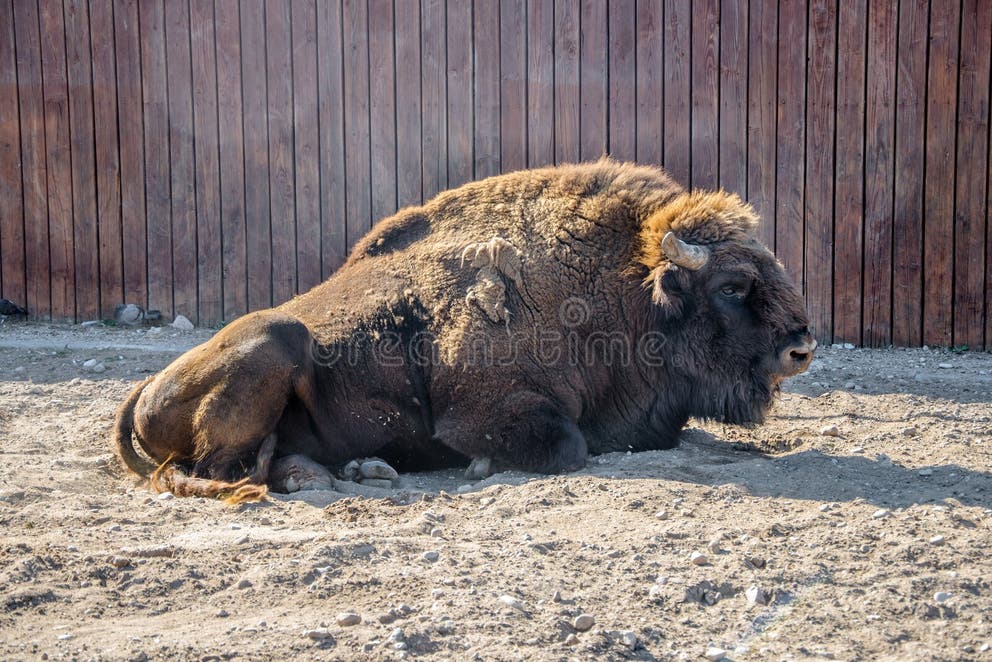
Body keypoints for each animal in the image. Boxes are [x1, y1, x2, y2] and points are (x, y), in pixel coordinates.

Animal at [113, 160, 815, 502]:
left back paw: (357, 470)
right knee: (213, 468)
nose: (802, 346)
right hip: (274, 342)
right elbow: (567, 447)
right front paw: (479, 465)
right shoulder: (488, 407)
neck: (623, 285)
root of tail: (144, 388)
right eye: (732, 287)